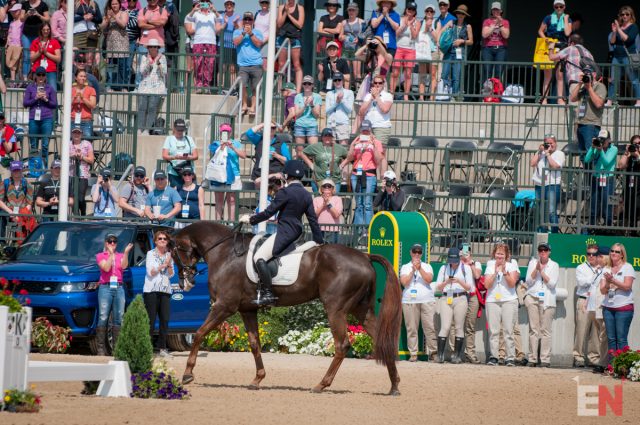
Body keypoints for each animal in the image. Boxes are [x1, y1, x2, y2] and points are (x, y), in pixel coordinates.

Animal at [171, 221, 403, 395]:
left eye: (174, 252)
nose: (185, 283)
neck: (225, 253)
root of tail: (364, 255)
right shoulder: (247, 309)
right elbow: (254, 344)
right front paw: (257, 379)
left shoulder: (224, 306)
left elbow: (199, 333)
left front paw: (187, 374)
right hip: (361, 310)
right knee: (382, 339)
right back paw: (394, 386)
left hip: (335, 309)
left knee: (342, 345)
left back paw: (321, 384)